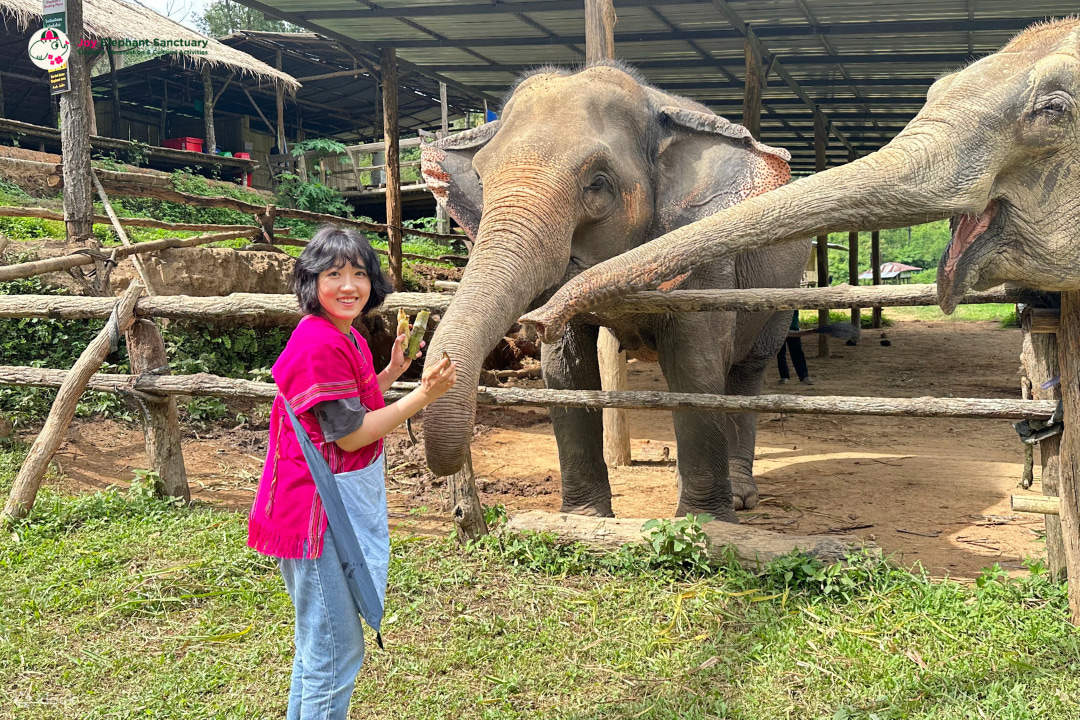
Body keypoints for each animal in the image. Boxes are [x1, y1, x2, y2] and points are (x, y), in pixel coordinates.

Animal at [419, 62, 809, 522]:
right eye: (480, 179)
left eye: (598, 183)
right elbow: (565, 371)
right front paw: (582, 519)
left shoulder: (705, 254)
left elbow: (695, 364)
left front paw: (705, 522)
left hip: (784, 288)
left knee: (746, 371)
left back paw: (740, 498)